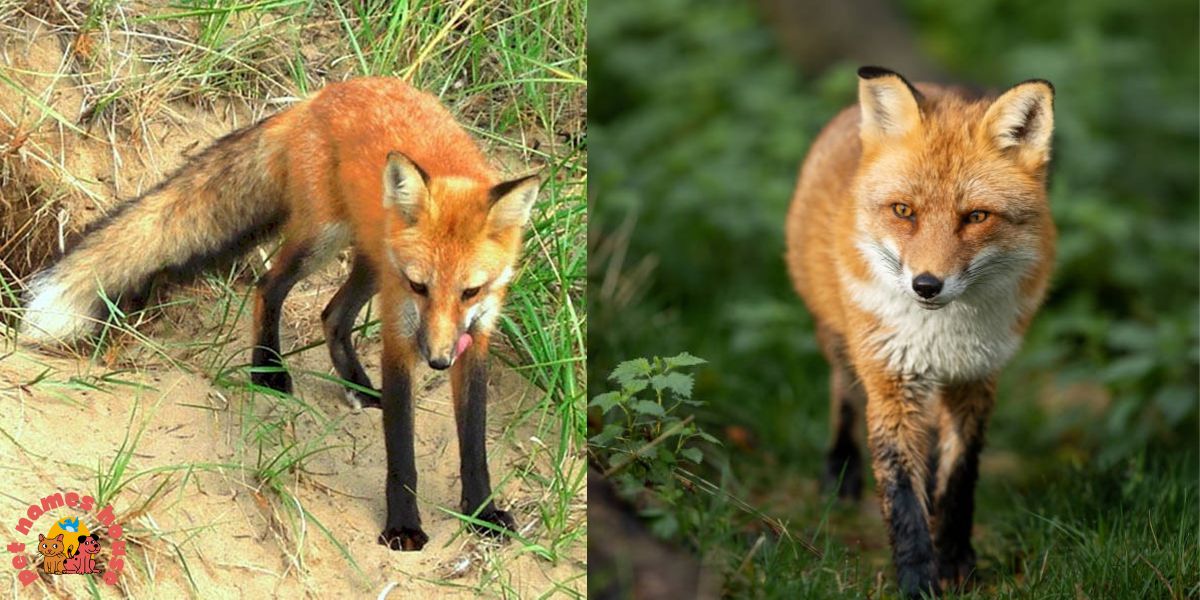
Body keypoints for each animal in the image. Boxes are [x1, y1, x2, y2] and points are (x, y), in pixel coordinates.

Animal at [20, 77, 540, 551]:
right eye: (420, 286)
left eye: (471, 291)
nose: (436, 362)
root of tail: (321, 95)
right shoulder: (400, 326)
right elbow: (401, 450)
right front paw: (403, 527)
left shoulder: (476, 335)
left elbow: (474, 442)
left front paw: (483, 513)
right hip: (324, 240)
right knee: (268, 287)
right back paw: (267, 369)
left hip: (368, 258)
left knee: (332, 314)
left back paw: (357, 386)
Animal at [785, 67, 1055, 596]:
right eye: (903, 211)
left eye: (976, 216)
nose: (926, 285)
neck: (941, 334)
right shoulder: (891, 382)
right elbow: (900, 496)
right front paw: (916, 580)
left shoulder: (975, 380)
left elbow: (958, 482)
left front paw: (955, 562)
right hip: (840, 340)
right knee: (843, 394)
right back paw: (839, 470)